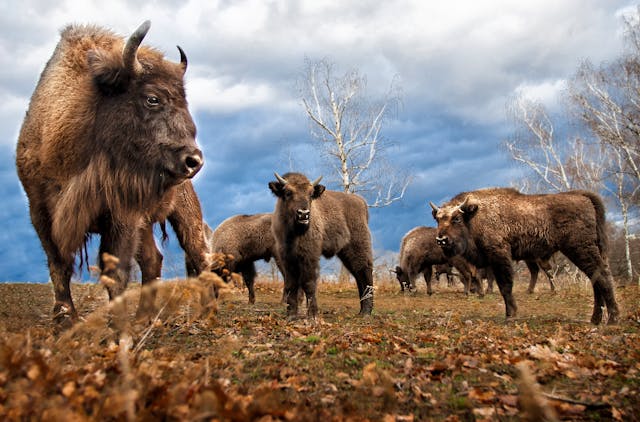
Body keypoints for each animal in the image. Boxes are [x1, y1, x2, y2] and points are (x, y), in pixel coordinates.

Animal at [16, 21, 204, 325]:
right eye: (153, 98)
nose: (193, 161)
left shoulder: (121, 216)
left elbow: (115, 271)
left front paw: (117, 323)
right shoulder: (40, 210)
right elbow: (59, 263)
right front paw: (65, 316)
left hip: (184, 213)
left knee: (199, 252)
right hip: (146, 224)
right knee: (152, 259)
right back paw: (144, 317)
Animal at [269, 172, 374, 318]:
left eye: (311, 194)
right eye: (288, 192)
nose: (303, 214)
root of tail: (361, 202)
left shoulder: (310, 257)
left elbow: (308, 283)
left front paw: (312, 315)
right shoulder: (286, 258)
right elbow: (290, 284)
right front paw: (291, 315)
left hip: (358, 247)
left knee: (365, 271)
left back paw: (366, 312)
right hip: (346, 253)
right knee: (358, 275)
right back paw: (361, 311)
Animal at [430, 188, 619, 324]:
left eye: (456, 219)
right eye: (438, 219)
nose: (441, 239)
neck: (474, 216)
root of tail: (582, 196)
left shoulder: (499, 255)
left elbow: (505, 286)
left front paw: (510, 315)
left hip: (580, 249)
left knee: (602, 277)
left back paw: (613, 319)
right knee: (597, 280)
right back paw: (595, 319)